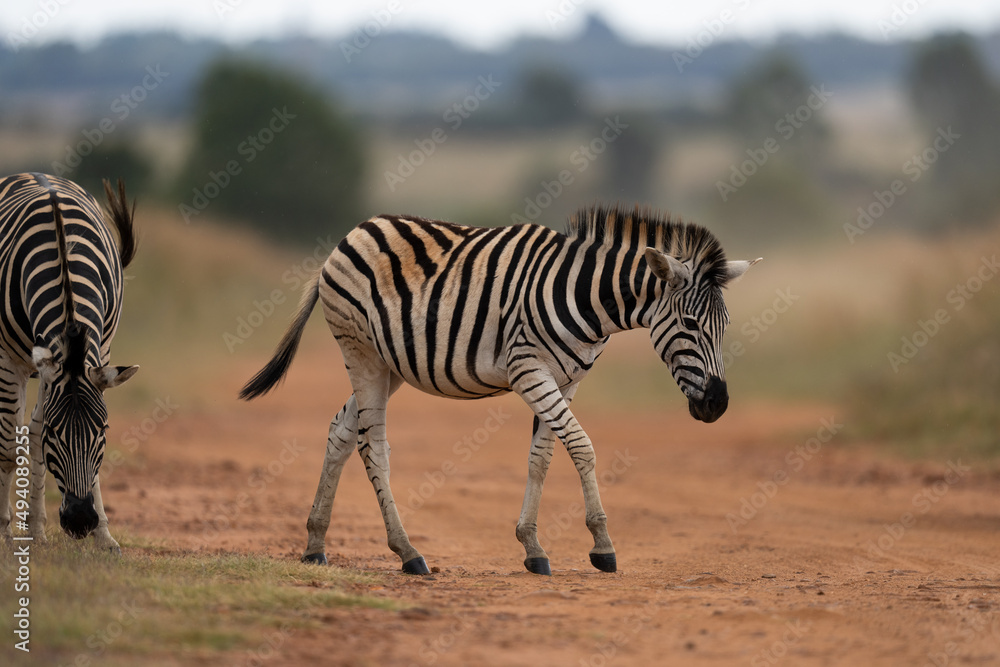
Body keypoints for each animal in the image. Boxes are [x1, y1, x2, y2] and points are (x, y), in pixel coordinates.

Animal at [0, 173, 138, 553]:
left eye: (103, 430)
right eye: (55, 433)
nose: (79, 521)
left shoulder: (99, 351)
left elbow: (34, 436)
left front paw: (104, 535)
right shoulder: (10, 362)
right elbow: (8, 446)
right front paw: (4, 533)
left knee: (30, 434)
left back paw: (36, 529)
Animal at [240, 204, 759, 575]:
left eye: (724, 326)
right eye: (690, 324)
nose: (717, 405)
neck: (588, 300)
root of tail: (354, 231)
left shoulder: (566, 379)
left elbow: (543, 457)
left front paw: (533, 548)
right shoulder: (529, 369)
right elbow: (582, 446)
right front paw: (602, 545)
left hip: (389, 366)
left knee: (341, 432)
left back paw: (315, 544)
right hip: (361, 351)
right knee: (375, 446)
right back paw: (408, 553)